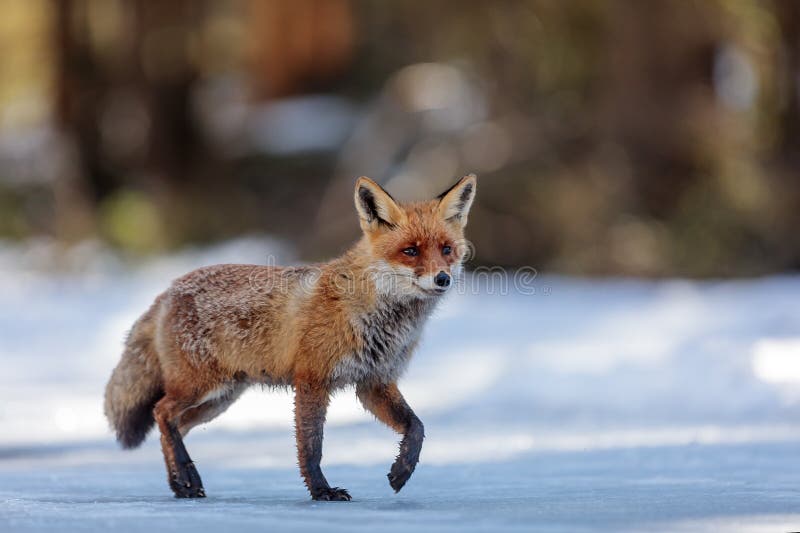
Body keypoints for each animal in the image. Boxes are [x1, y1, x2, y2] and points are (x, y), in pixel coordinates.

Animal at [104, 174, 476, 501]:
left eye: (446, 249)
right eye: (410, 251)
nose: (442, 279)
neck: (375, 316)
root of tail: (169, 290)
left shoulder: (374, 382)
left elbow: (417, 428)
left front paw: (402, 471)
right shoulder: (312, 380)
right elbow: (311, 447)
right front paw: (322, 492)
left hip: (219, 398)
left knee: (174, 425)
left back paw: (181, 484)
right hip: (199, 387)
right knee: (161, 412)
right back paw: (186, 478)